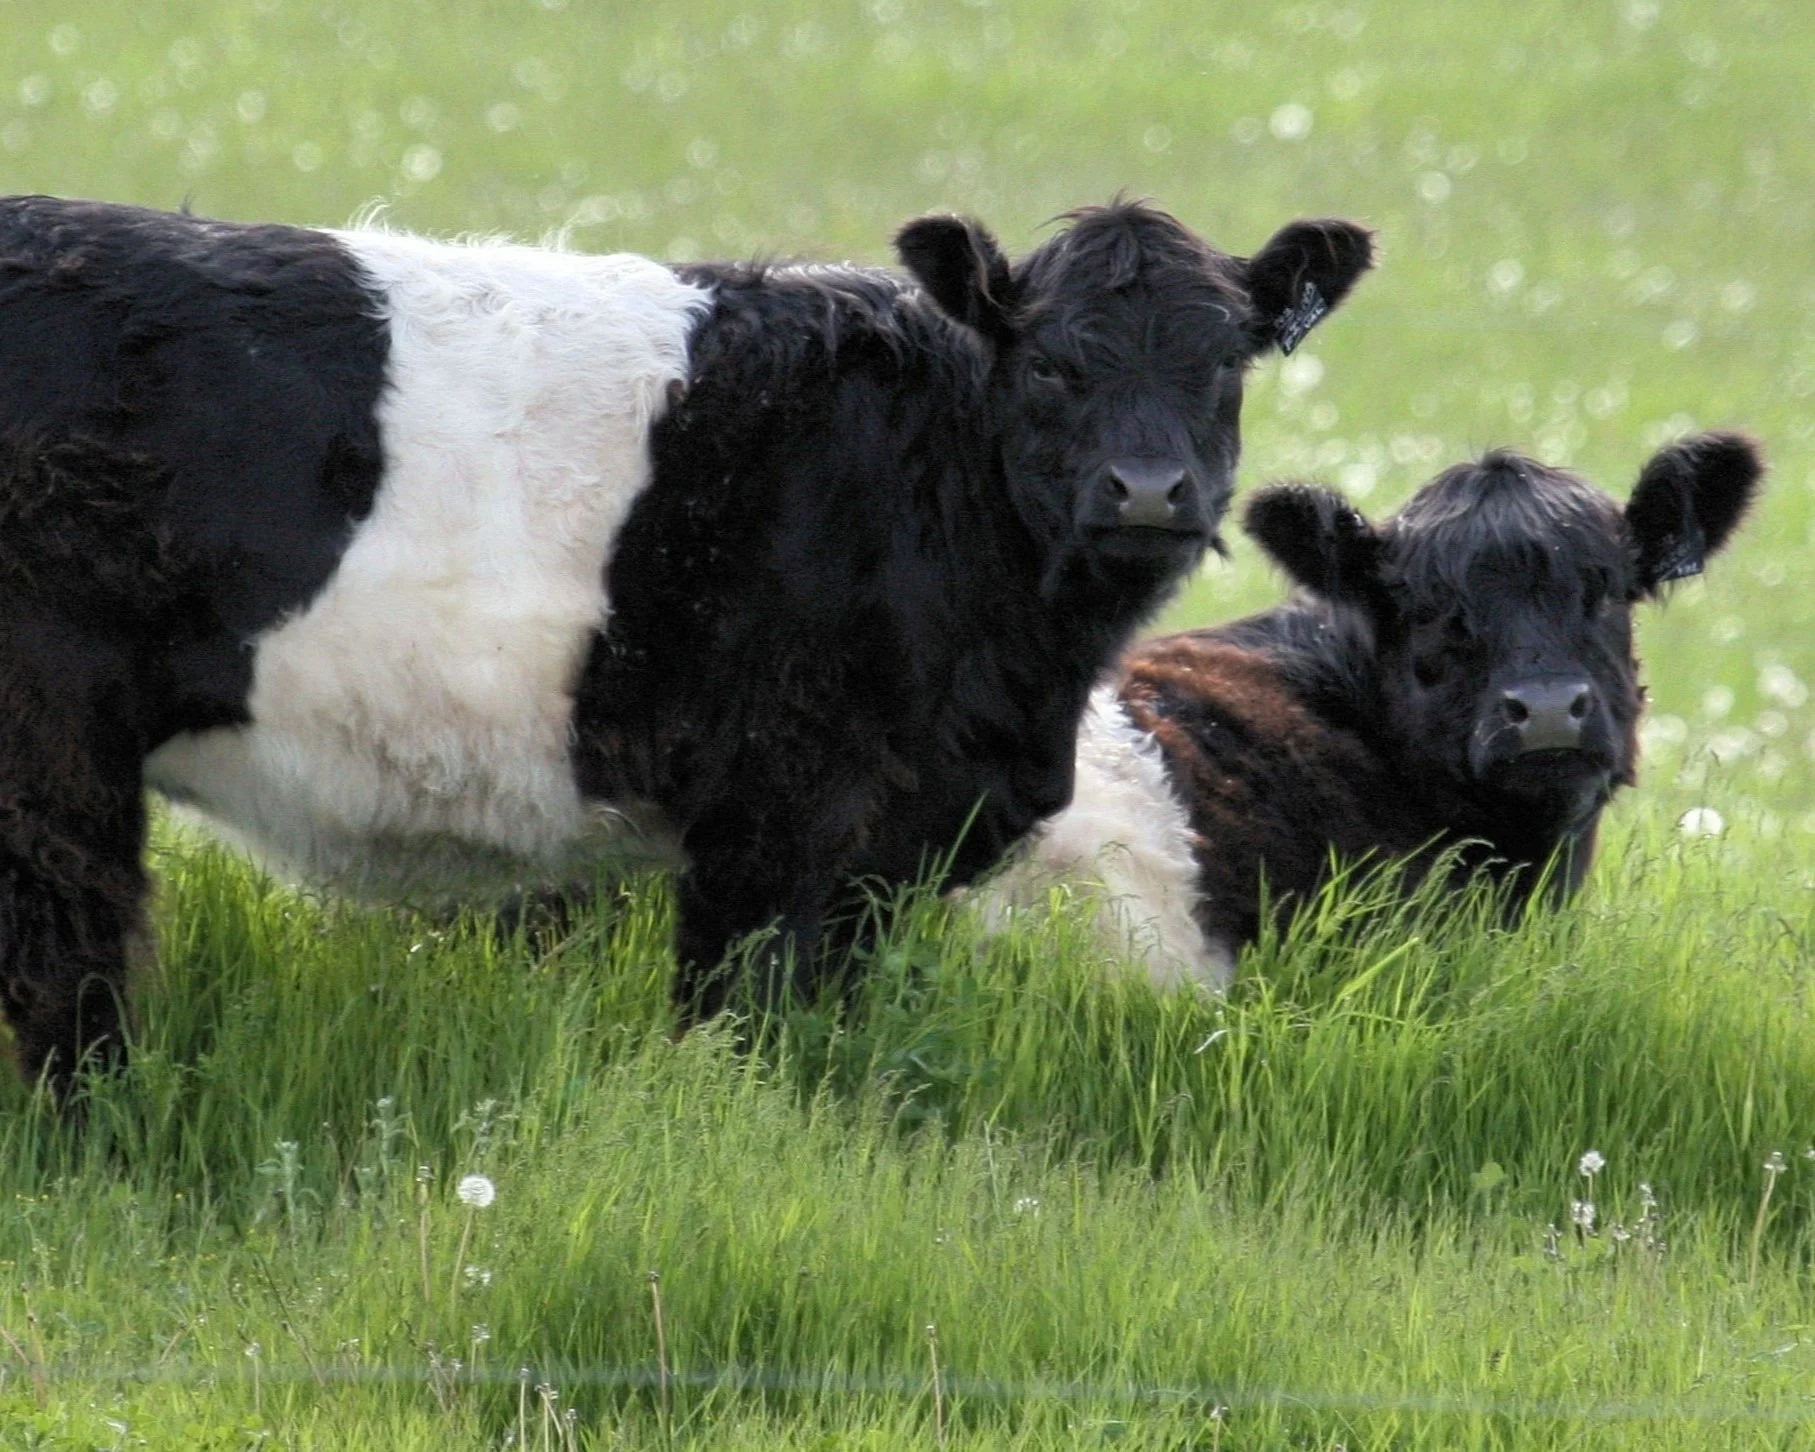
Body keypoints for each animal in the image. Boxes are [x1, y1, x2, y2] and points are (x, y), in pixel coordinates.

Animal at [0, 194, 1374, 1089]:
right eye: (1048, 367)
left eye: (1225, 367)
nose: (1147, 491)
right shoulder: (775, 820)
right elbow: (736, 1030)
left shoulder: (869, 858)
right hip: (50, 750)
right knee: (66, 966)